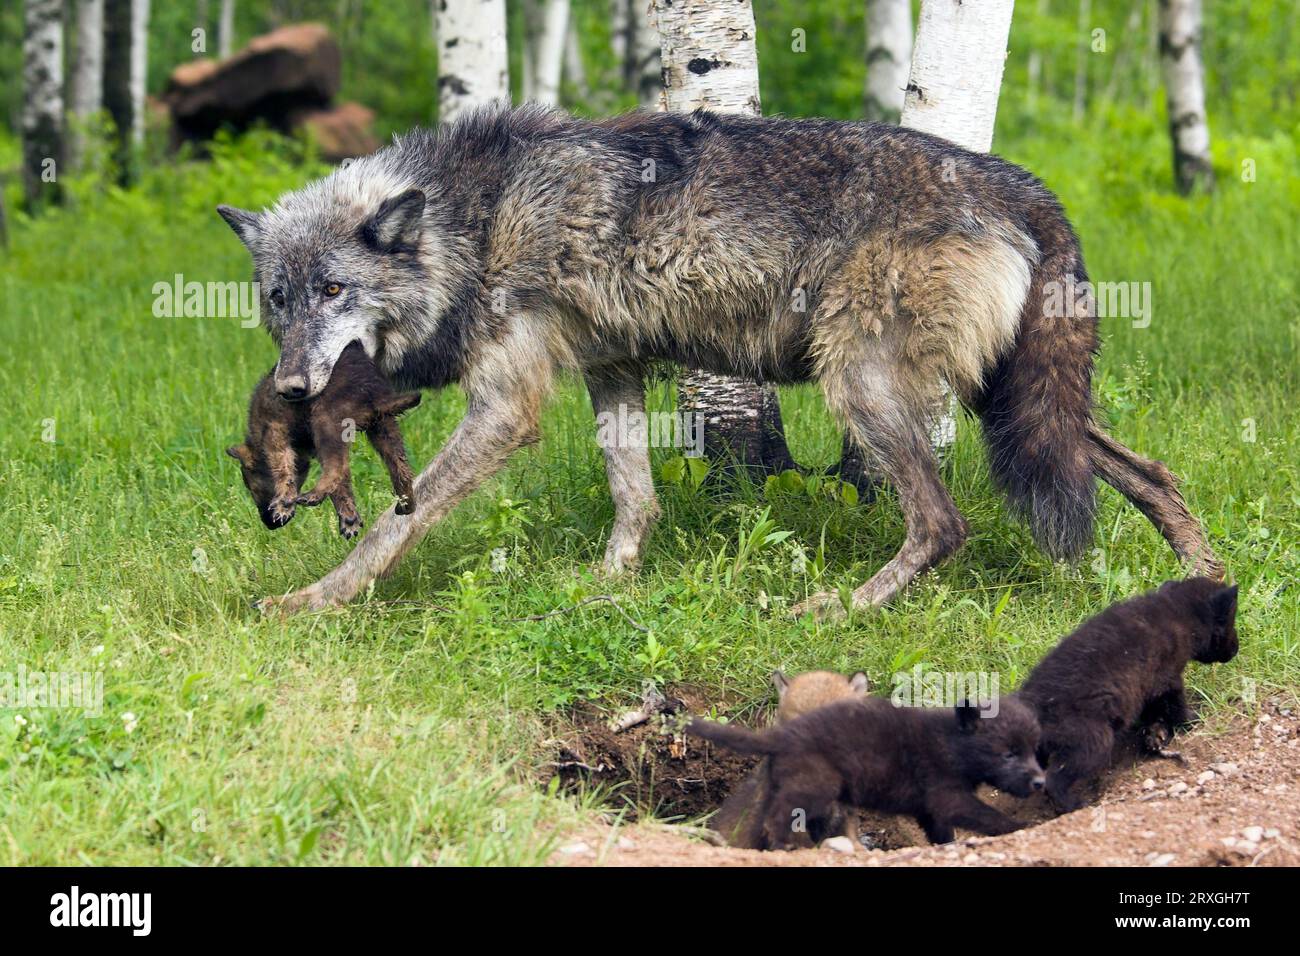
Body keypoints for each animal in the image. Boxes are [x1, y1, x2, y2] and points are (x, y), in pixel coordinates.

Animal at [227, 341, 422, 538]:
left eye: (252, 489)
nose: (270, 526)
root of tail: (374, 395)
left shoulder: (275, 433)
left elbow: (284, 470)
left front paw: (284, 504)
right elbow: (342, 485)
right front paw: (349, 517)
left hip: (325, 420)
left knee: (335, 469)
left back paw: (313, 495)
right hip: (383, 427)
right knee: (400, 468)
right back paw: (406, 503)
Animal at [689, 695, 1045, 849]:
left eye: (1033, 750)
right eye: (1008, 754)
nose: (1041, 781)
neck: (953, 744)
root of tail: (781, 735)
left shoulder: (932, 810)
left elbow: (943, 833)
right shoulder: (948, 797)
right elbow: (988, 815)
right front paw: (1020, 827)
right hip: (815, 785)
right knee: (777, 820)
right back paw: (786, 848)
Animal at [1017, 577, 1239, 811]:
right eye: (1230, 621)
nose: (1236, 649)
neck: (1178, 613)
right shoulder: (1167, 679)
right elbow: (1176, 705)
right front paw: (1192, 719)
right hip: (1091, 740)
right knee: (1055, 780)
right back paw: (1075, 804)